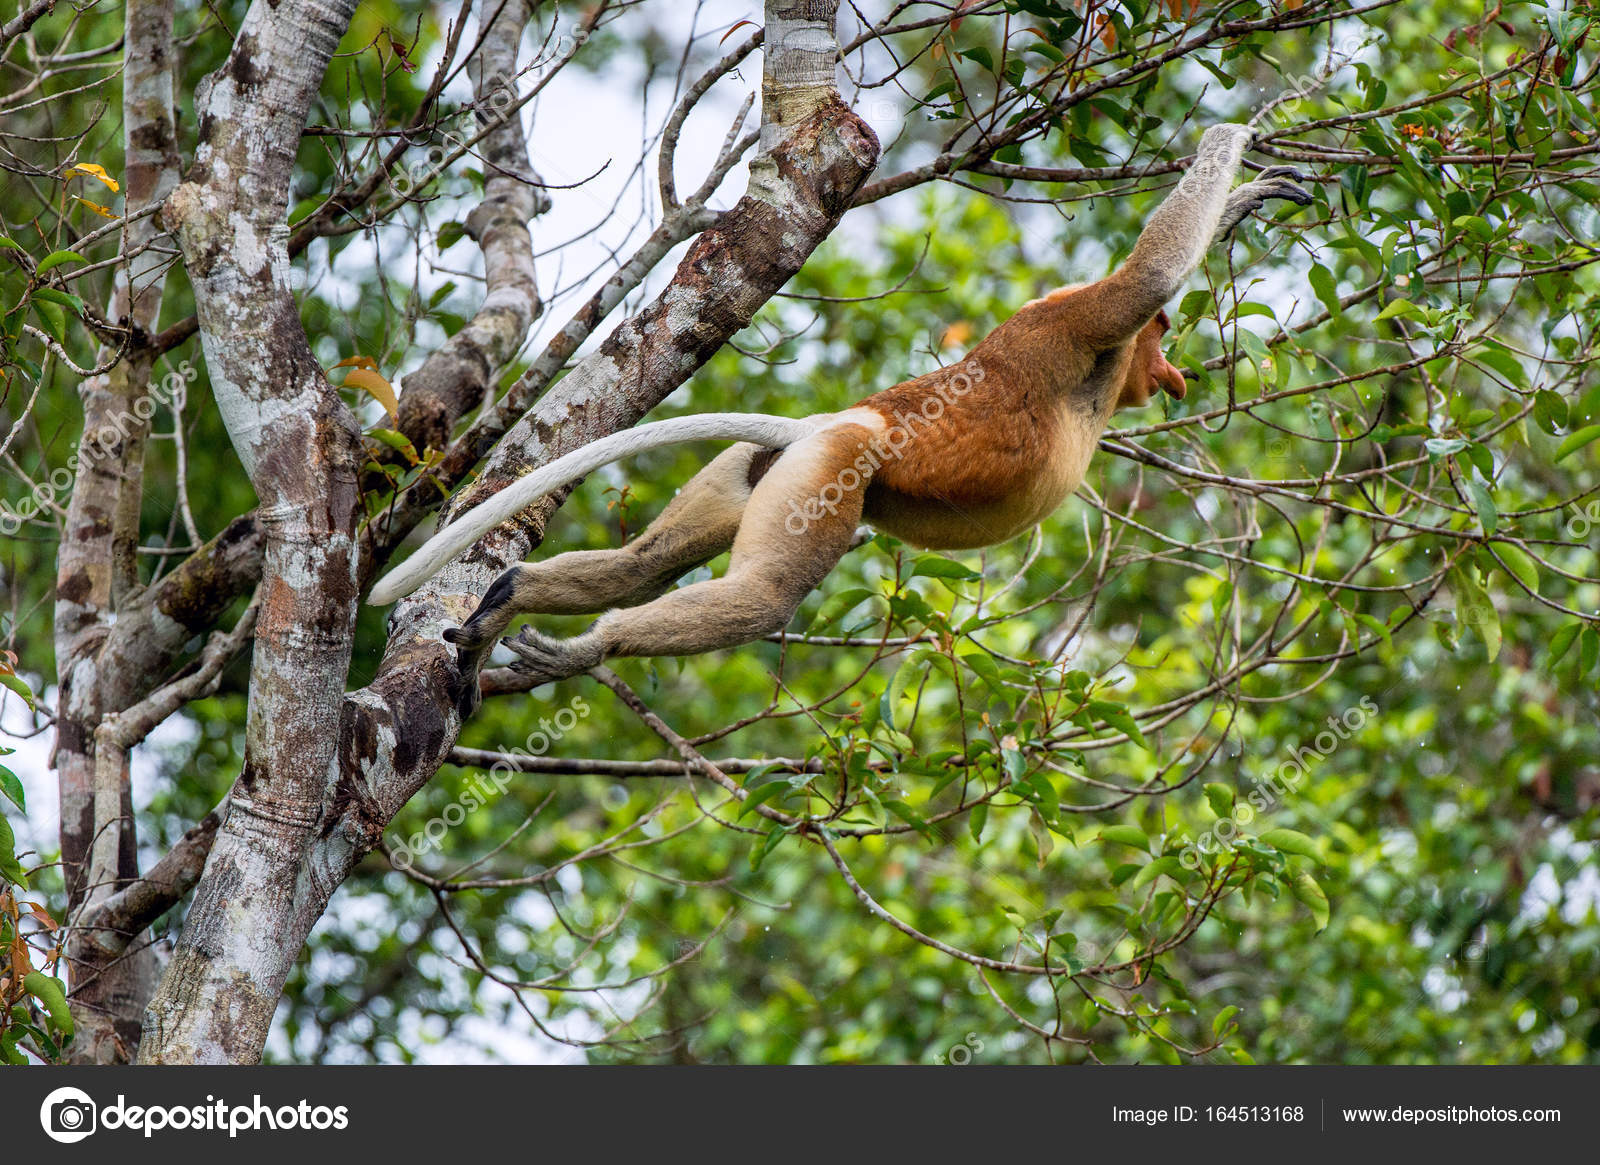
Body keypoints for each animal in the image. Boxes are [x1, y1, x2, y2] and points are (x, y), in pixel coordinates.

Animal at [367, 124, 1311, 711]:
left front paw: (1243, 196)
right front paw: (1234, 146)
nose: (1175, 375)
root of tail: (821, 427)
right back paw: (589, 648)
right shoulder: (1063, 329)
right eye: (1163, 339)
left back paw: (506, 605)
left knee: (647, 561)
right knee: (762, 594)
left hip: (754, 473)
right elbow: (1145, 277)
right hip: (827, 478)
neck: (1104, 378)